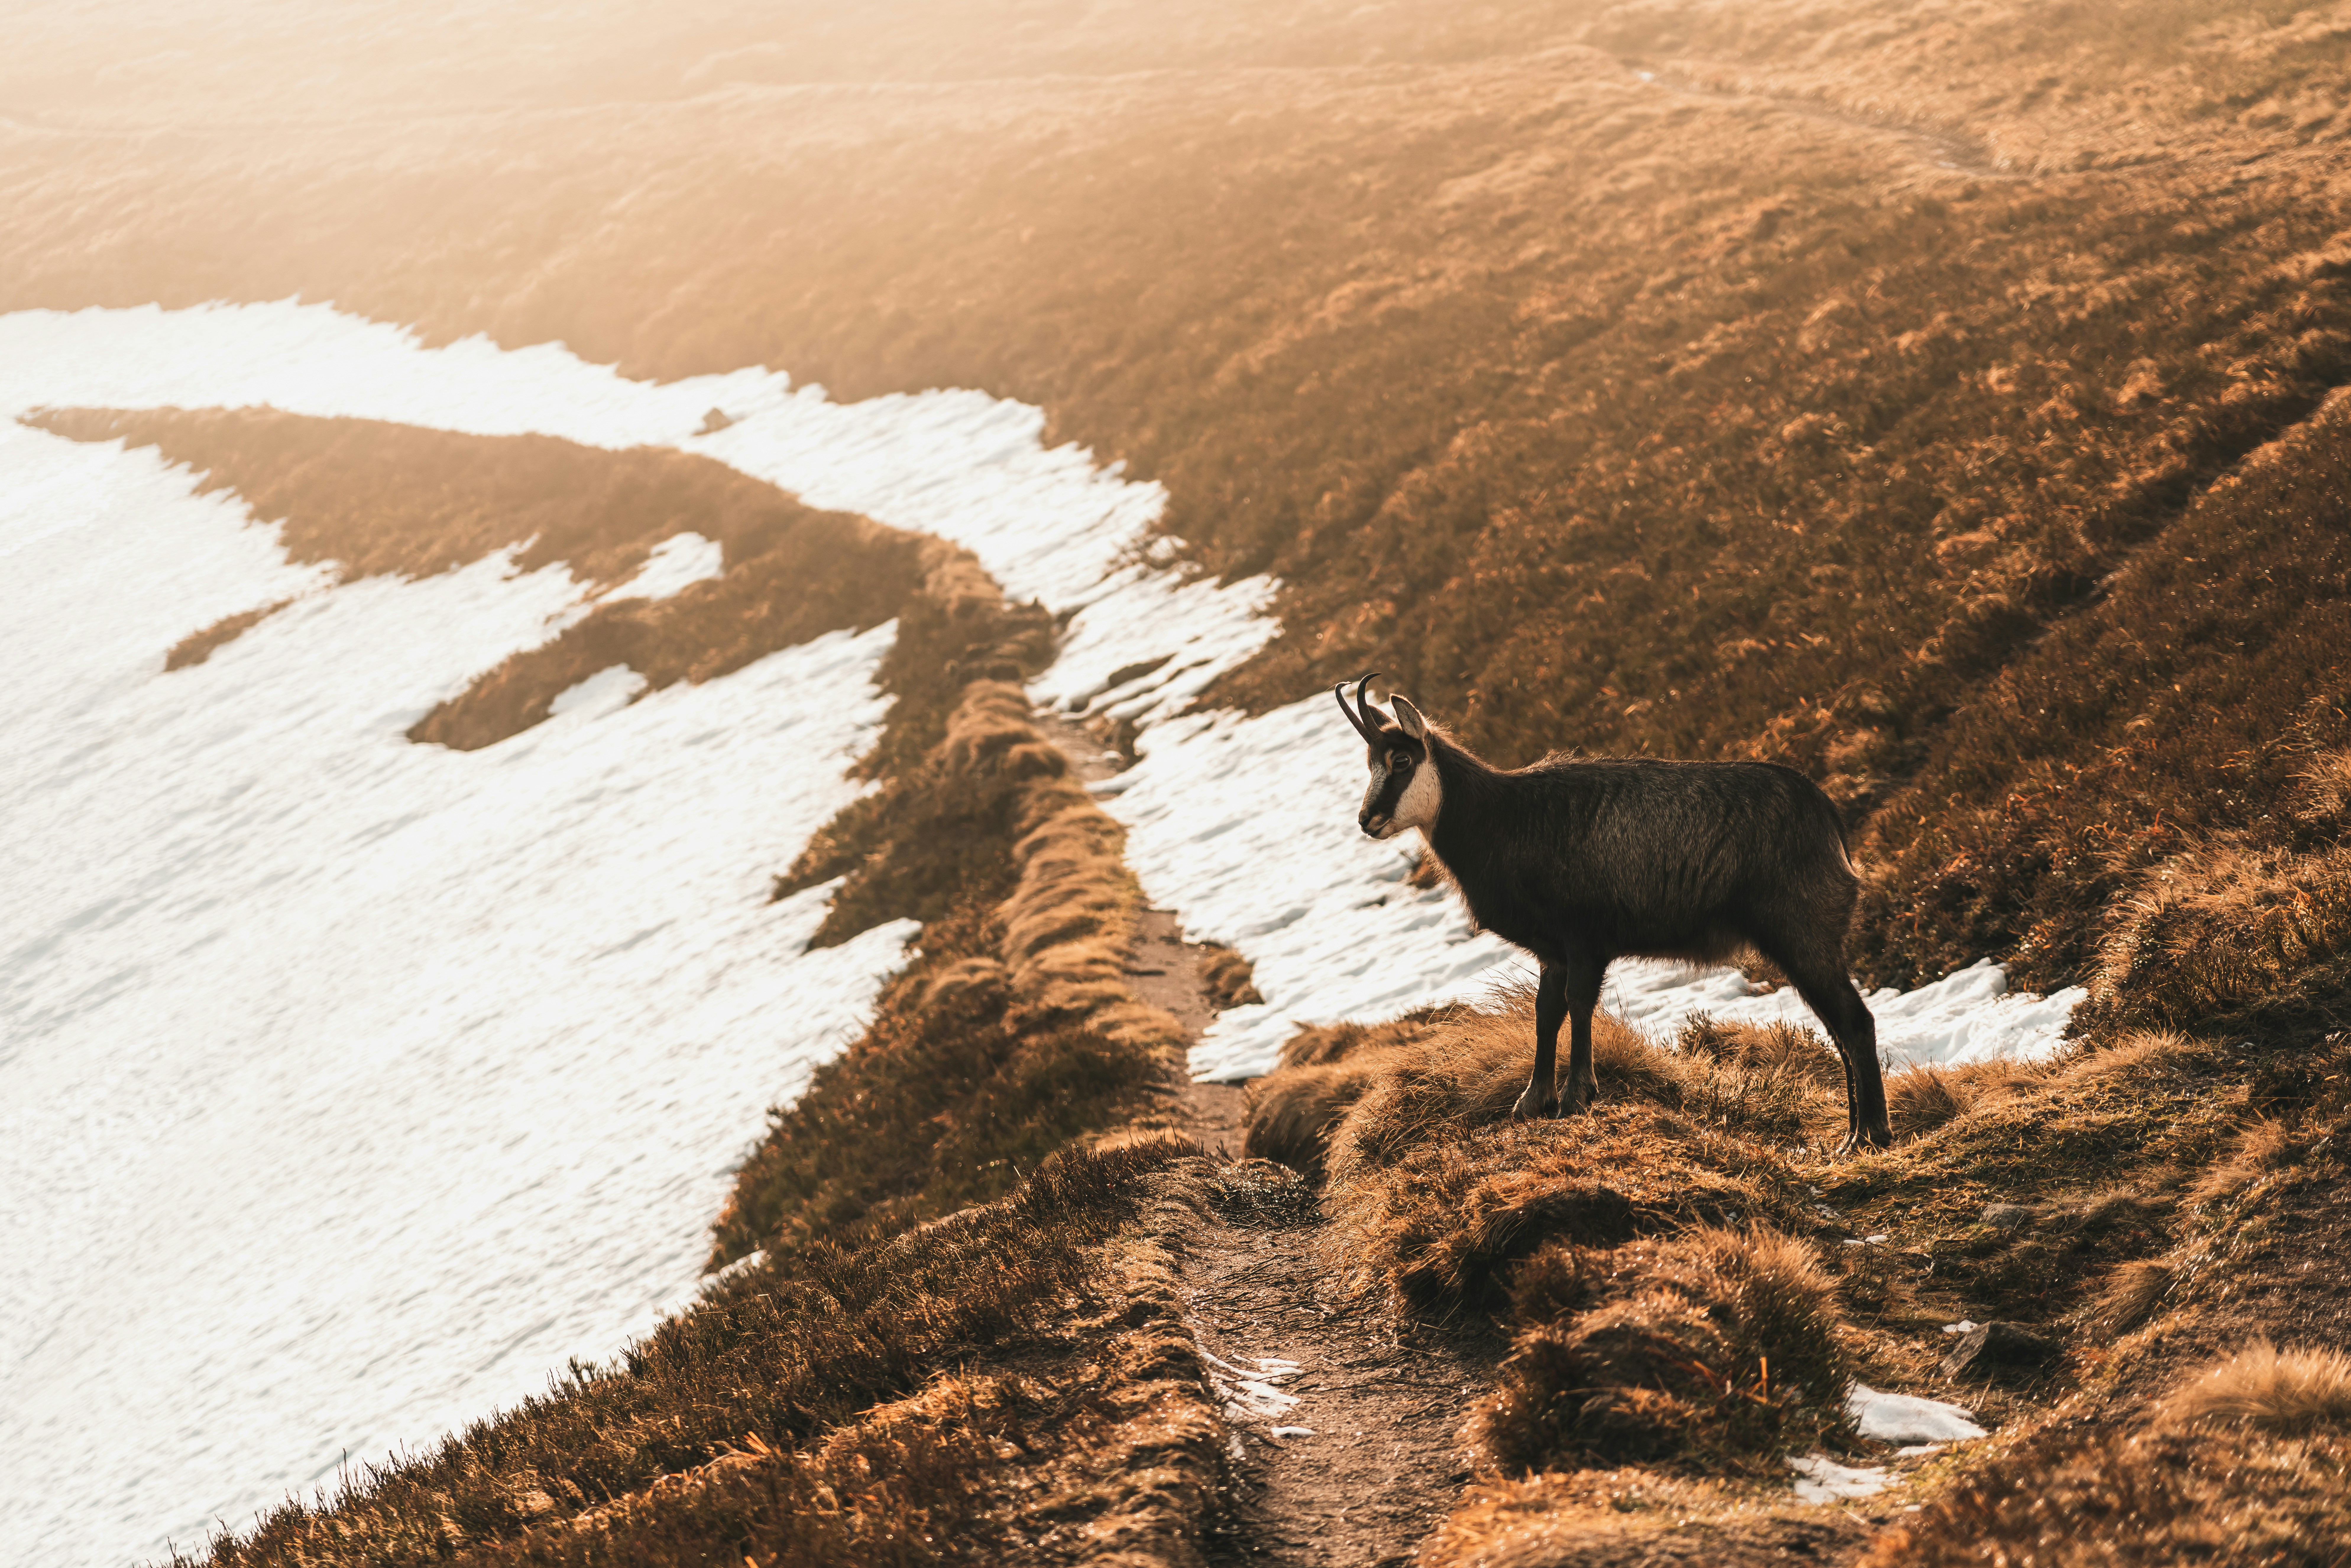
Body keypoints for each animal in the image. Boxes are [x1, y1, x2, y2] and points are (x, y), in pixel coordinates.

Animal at [1336, 672, 1891, 1153]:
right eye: (1370, 763)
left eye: (1402, 760)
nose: (1367, 820)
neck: (1503, 820)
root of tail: (1829, 820)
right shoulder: (1552, 951)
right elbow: (1546, 1012)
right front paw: (1532, 1100)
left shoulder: (1586, 939)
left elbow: (1579, 1004)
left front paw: (1576, 1095)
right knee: (1838, 1027)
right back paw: (1852, 1134)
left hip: (1801, 931)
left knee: (1855, 1021)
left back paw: (1870, 1136)